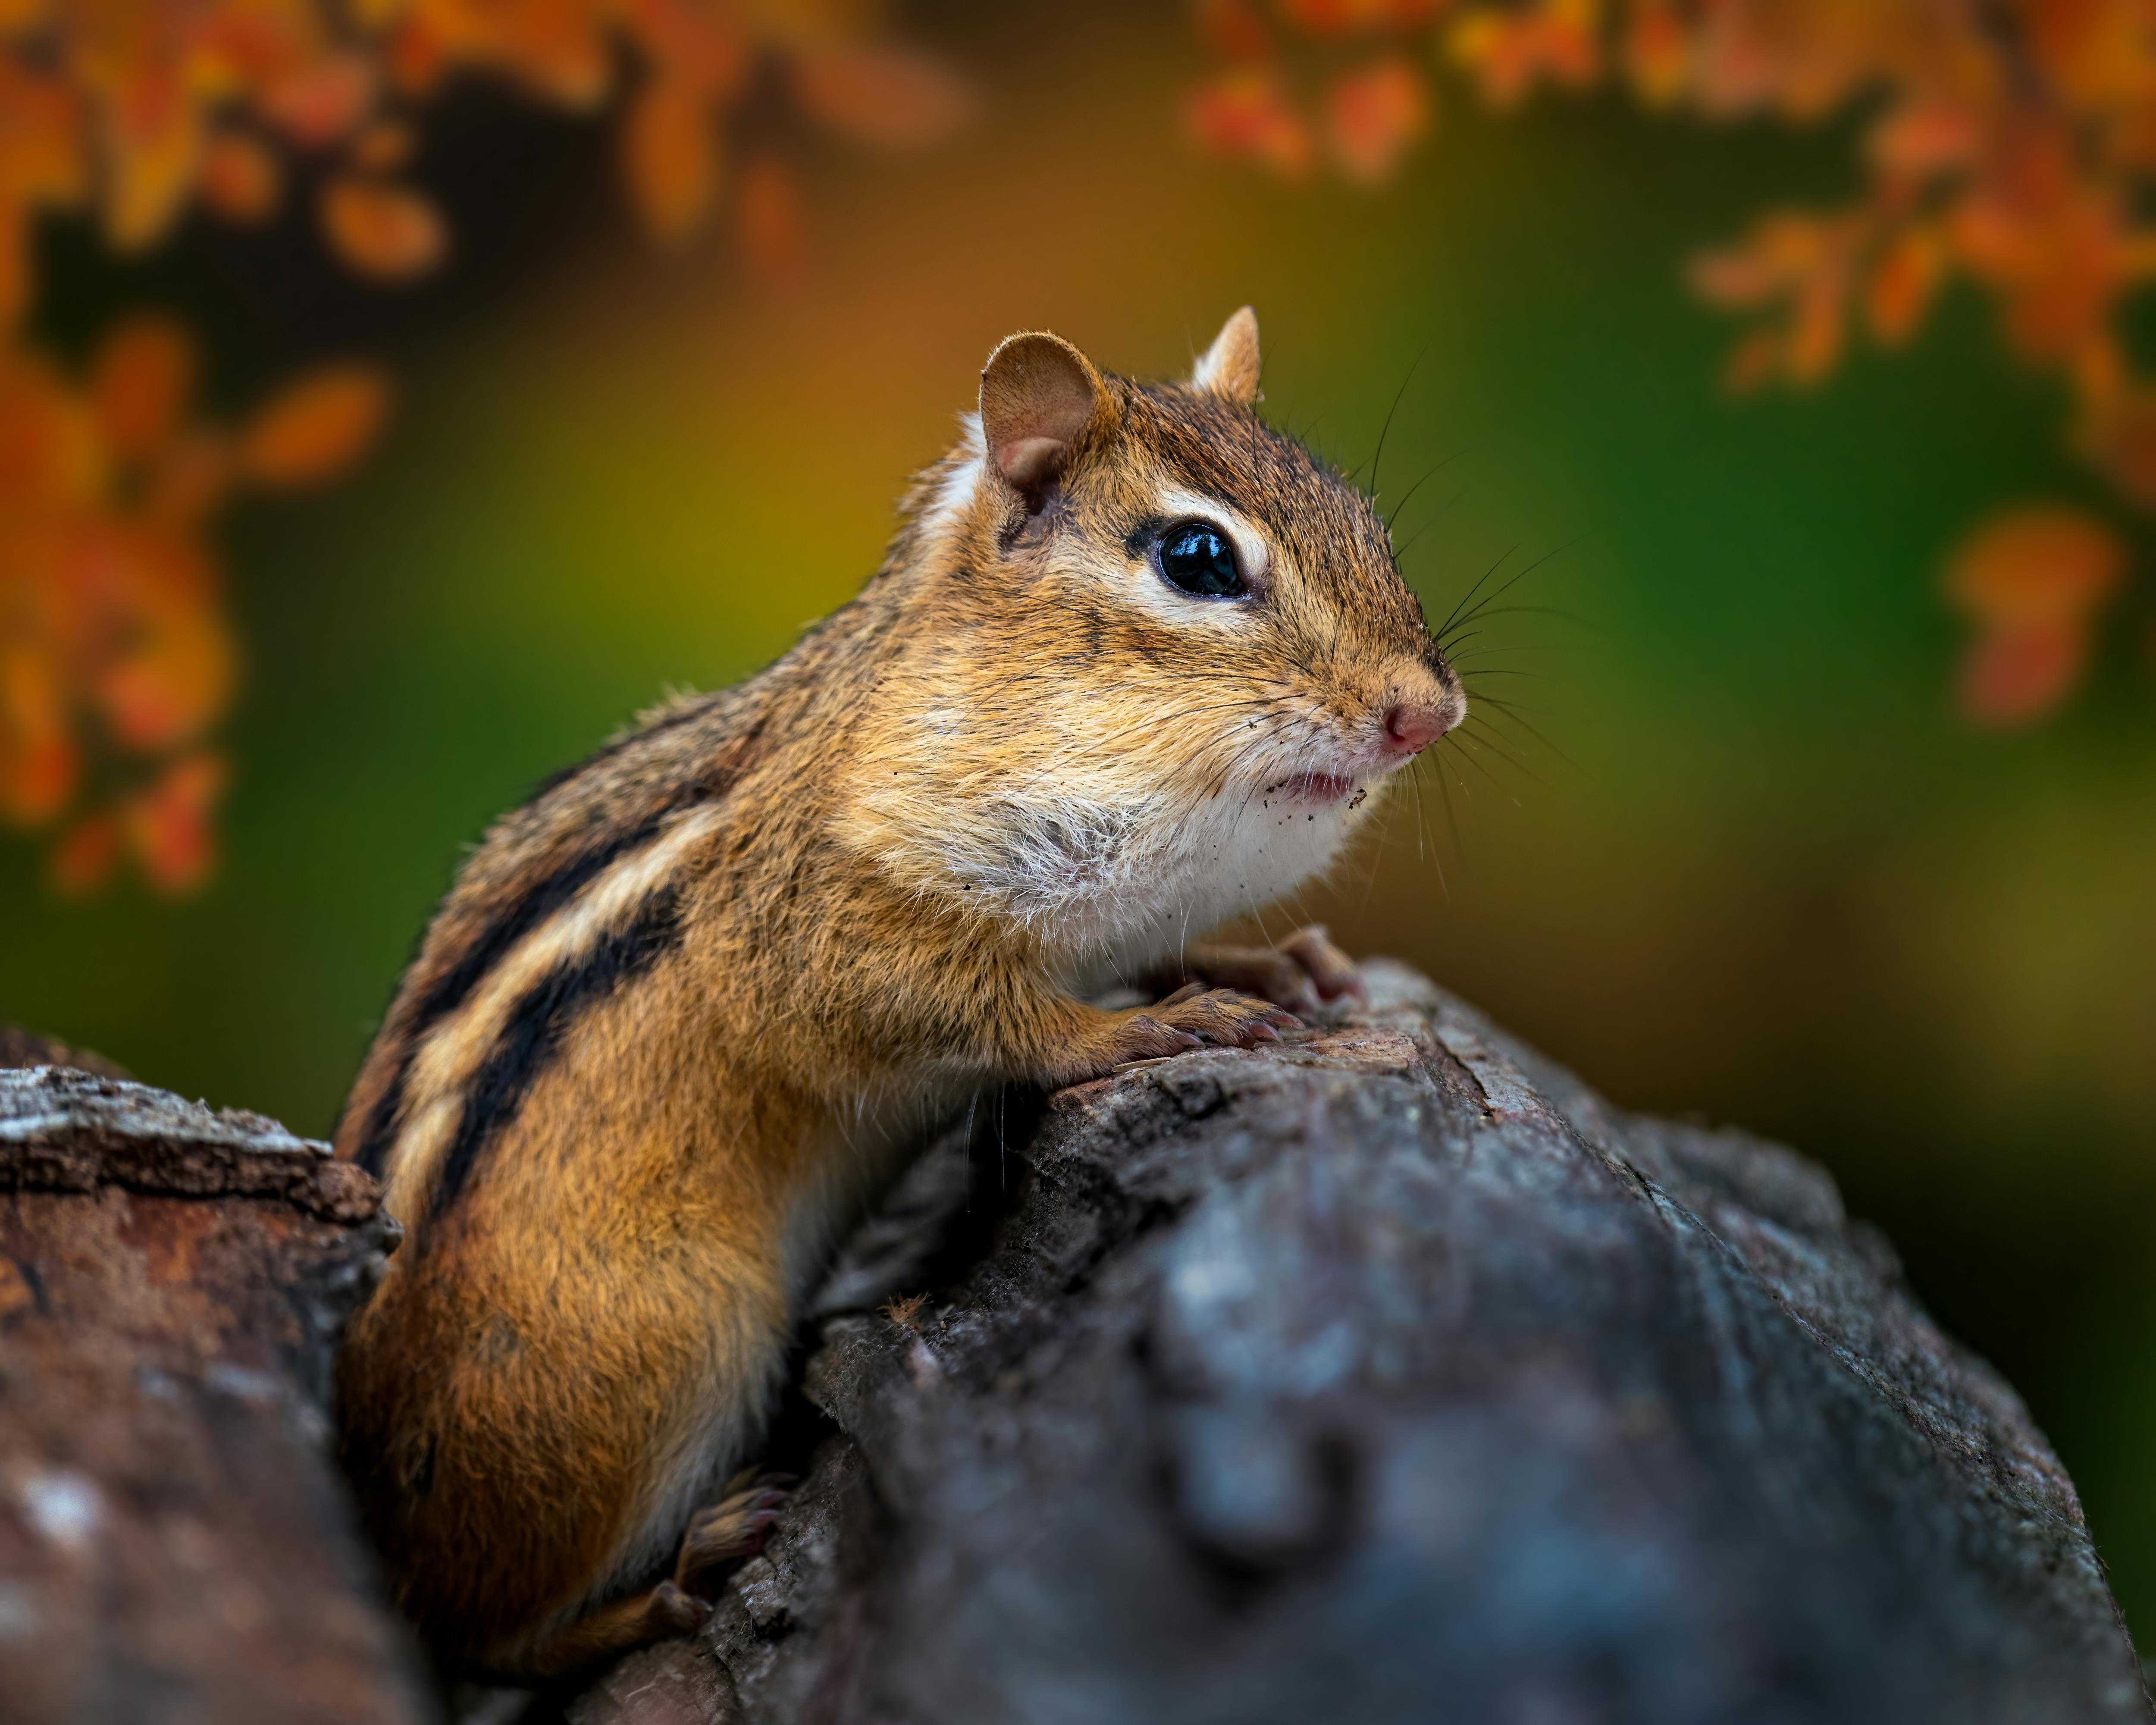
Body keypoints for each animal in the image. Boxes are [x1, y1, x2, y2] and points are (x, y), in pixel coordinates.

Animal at [331, 308, 1466, 1677]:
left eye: (1367, 522)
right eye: (1197, 558)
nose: (1428, 712)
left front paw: (1264, 962)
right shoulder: (814, 930)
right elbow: (990, 1018)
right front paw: (1155, 1023)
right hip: (672, 1335)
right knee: (479, 1633)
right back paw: (676, 1577)